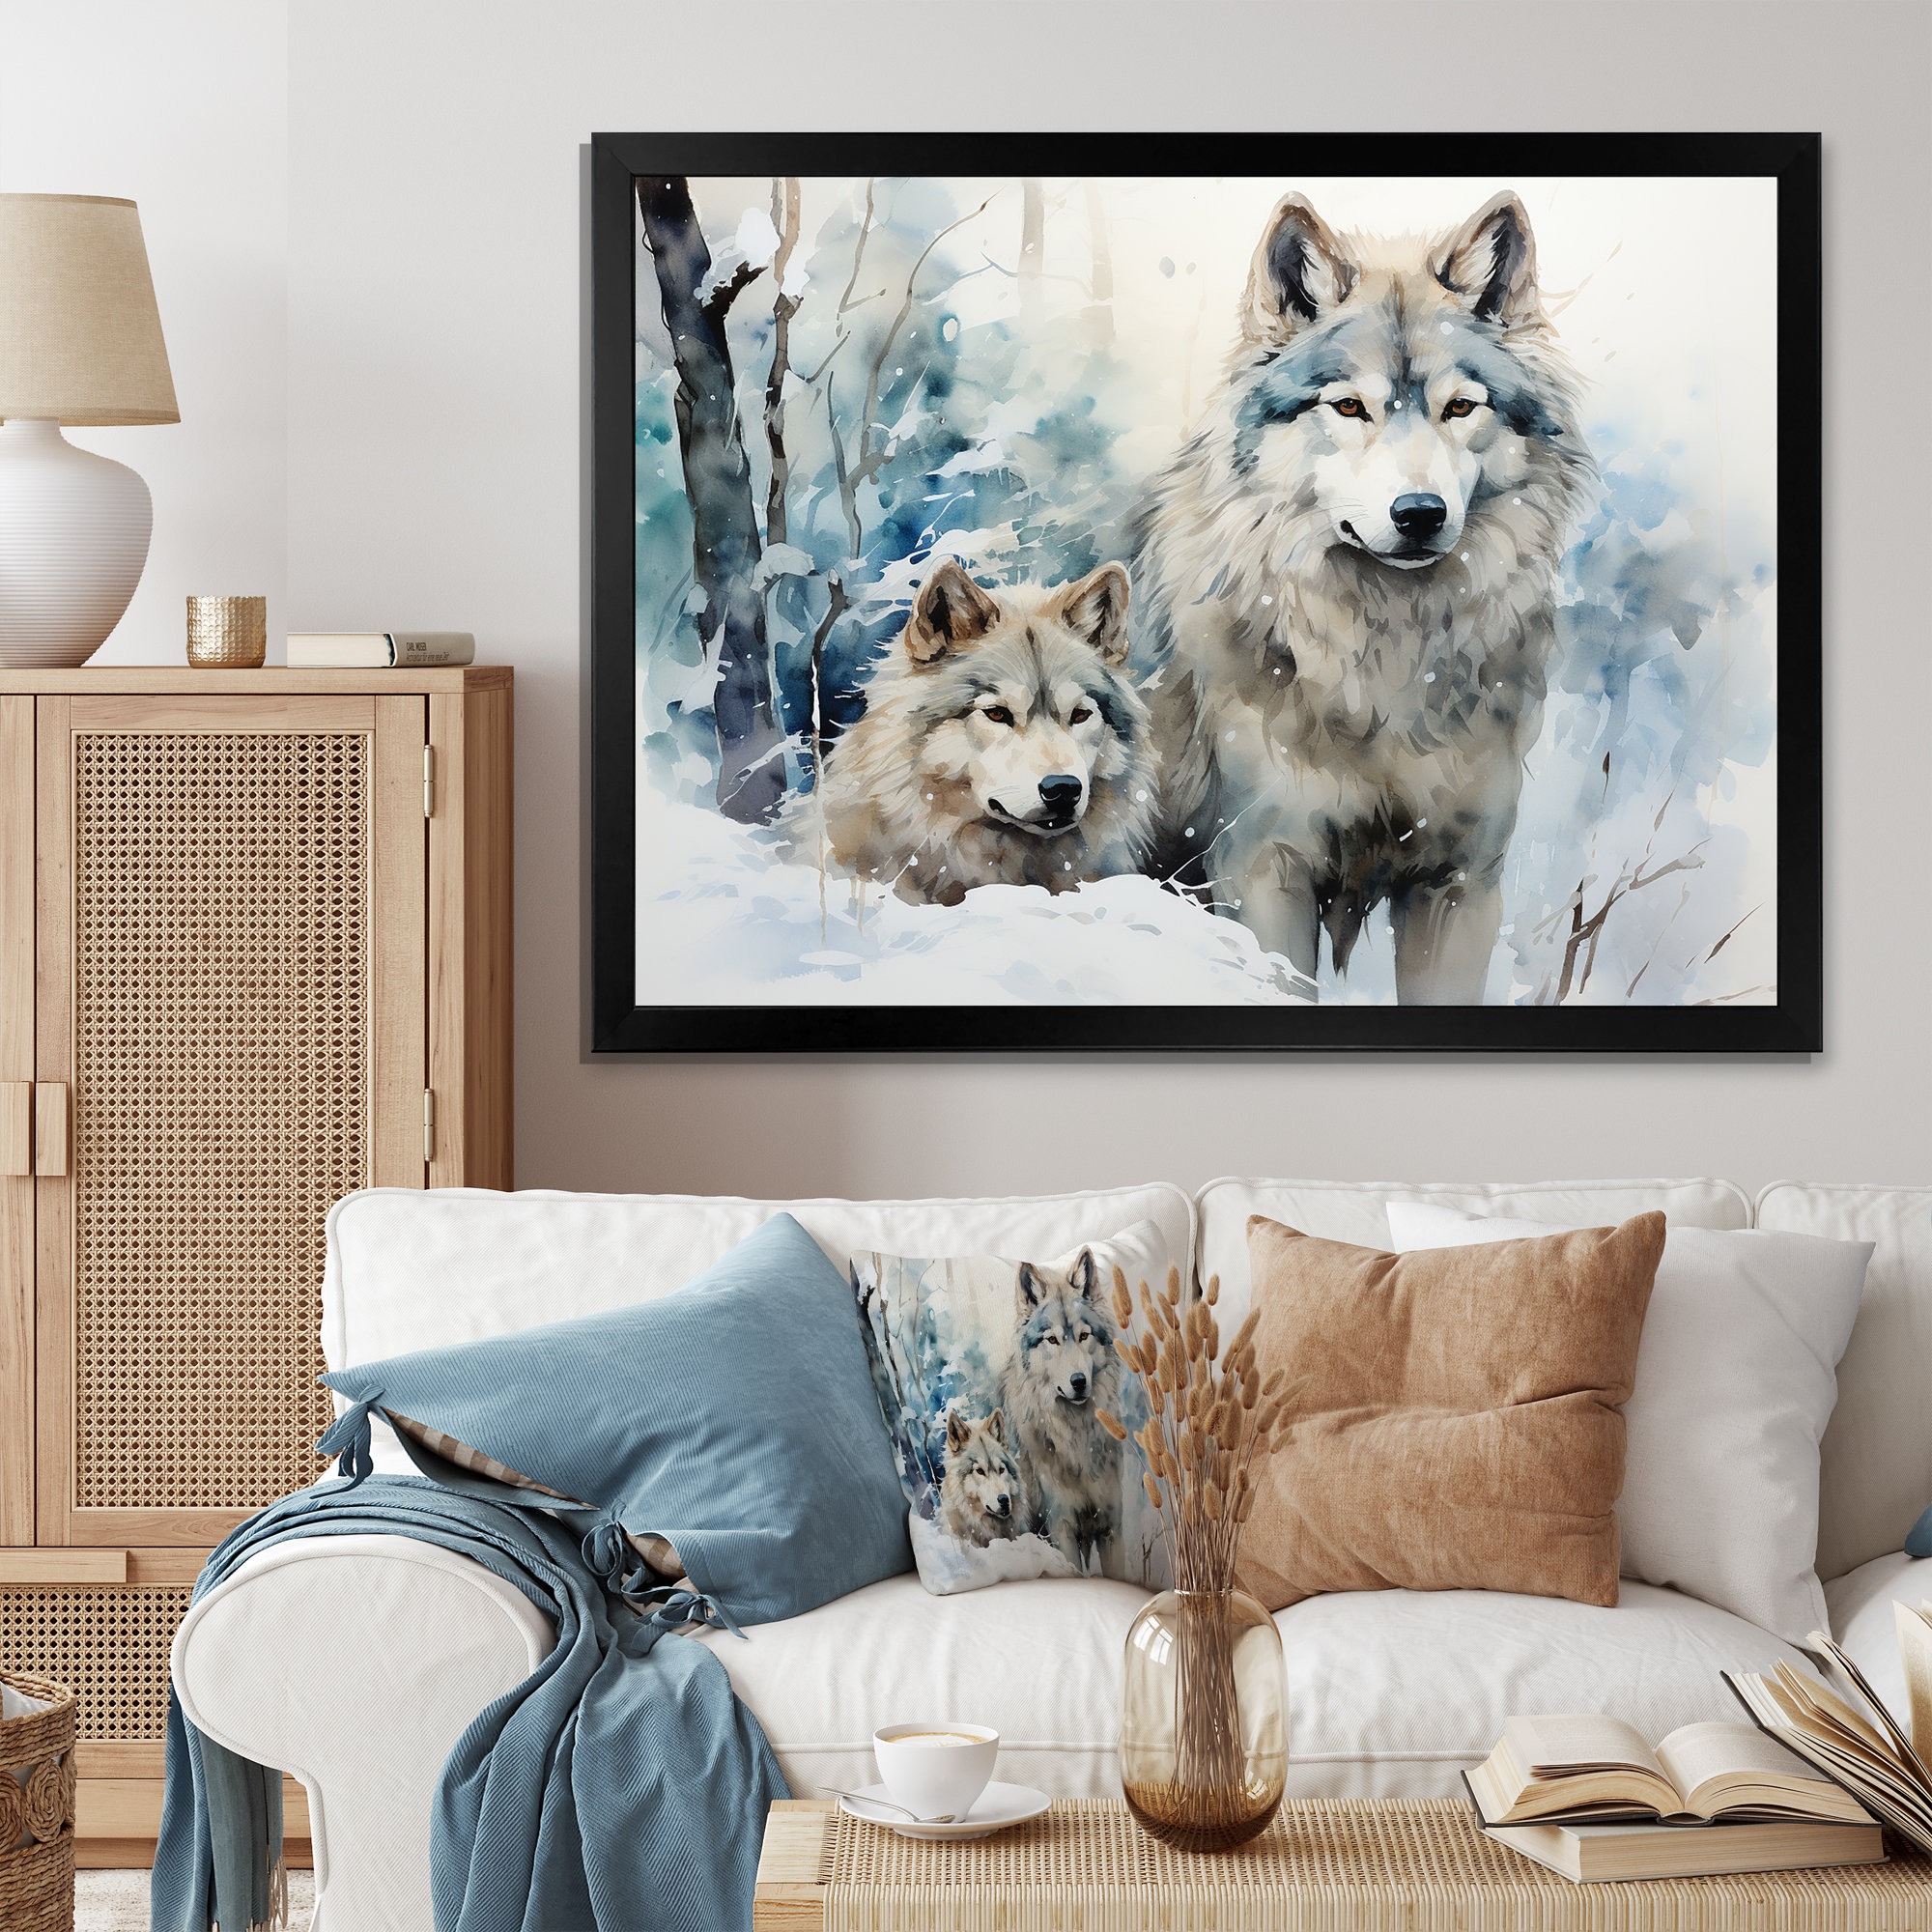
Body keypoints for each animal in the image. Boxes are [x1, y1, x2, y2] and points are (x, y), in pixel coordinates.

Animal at [1132, 190, 1596, 1003]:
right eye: (1349, 408)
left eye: (1460, 408)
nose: (1420, 514)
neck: (1387, 659)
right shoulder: (1263, 871)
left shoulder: (1461, 881)